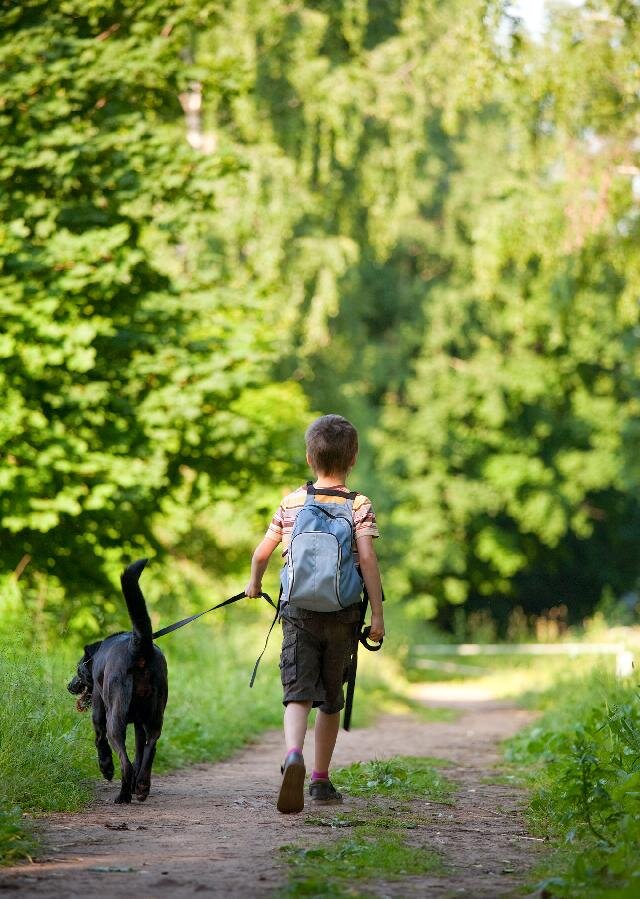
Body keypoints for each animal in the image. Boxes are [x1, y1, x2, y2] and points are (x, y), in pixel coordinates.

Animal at [68, 560, 169, 804]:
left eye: (79, 669)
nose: (70, 686)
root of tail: (138, 646)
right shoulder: (140, 725)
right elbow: (140, 752)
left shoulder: (98, 709)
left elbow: (99, 739)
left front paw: (106, 768)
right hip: (155, 717)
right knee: (149, 750)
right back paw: (141, 787)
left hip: (115, 715)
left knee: (125, 761)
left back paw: (123, 794)